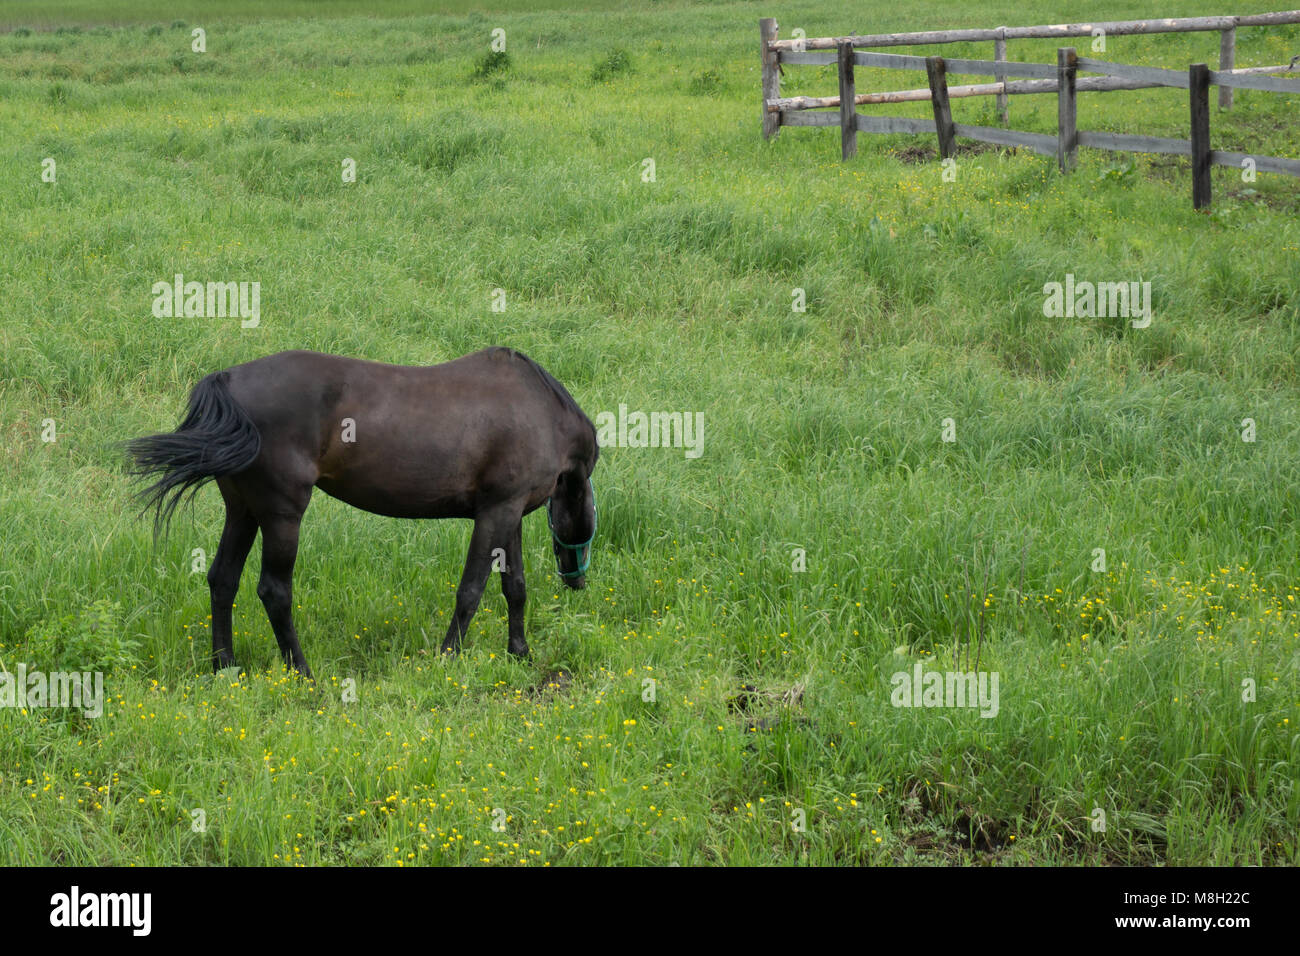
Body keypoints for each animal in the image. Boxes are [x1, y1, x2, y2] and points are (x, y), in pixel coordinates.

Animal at [126, 347, 599, 679]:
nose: (577, 581)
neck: (539, 412)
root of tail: (228, 380)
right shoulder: (496, 513)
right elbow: (471, 591)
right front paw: (448, 657)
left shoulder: (510, 514)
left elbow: (514, 588)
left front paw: (520, 653)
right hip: (281, 515)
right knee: (274, 591)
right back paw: (302, 672)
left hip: (243, 511)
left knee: (223, 579)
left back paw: (224, 667)